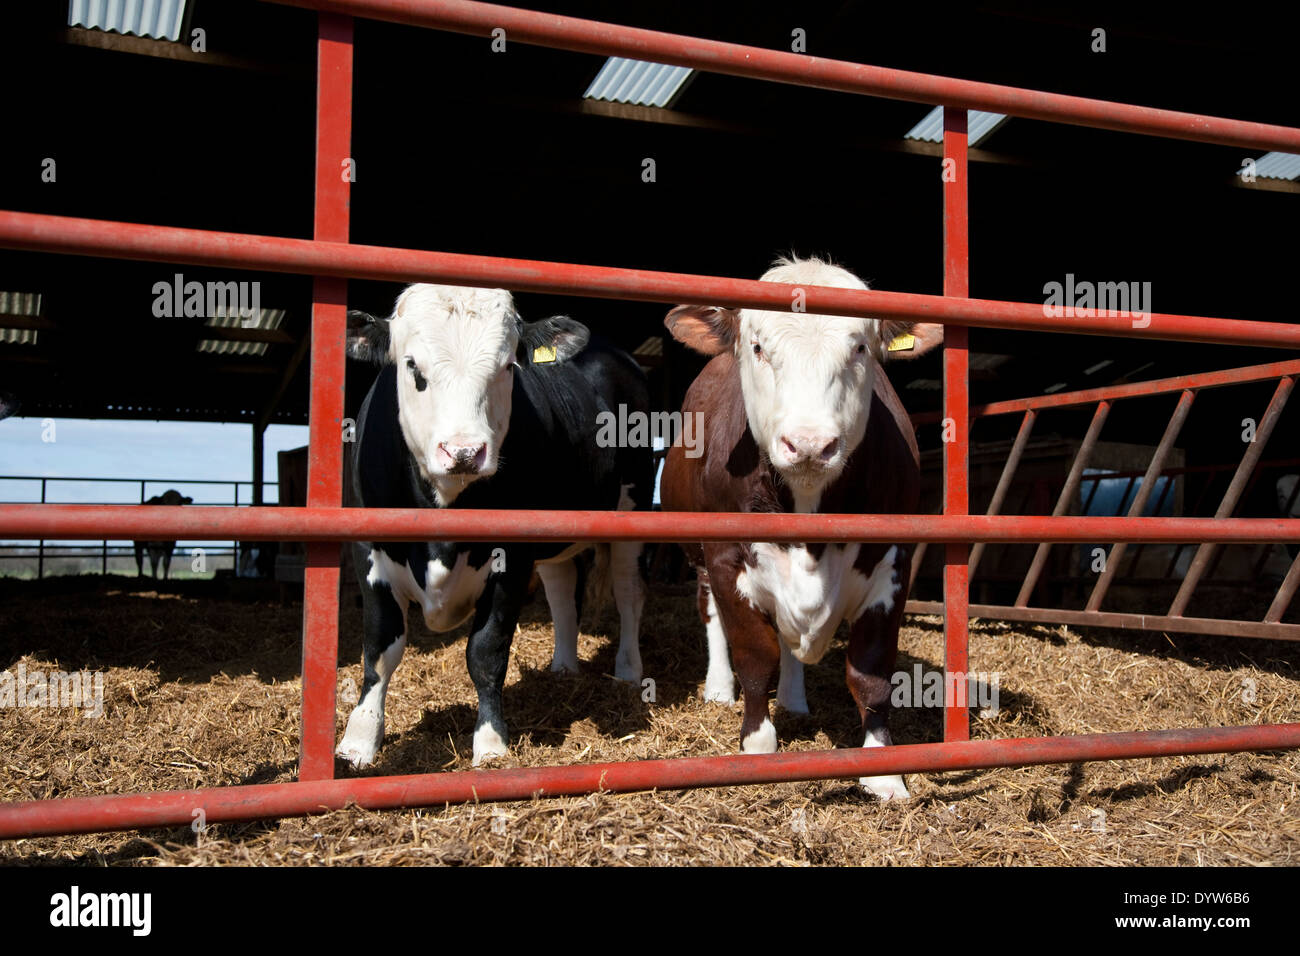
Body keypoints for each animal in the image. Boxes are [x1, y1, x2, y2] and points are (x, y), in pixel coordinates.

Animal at [338, 284, 653, 769]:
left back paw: (627, 670)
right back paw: (563, 667)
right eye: (411, 366)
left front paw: (490, 743)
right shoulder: (369, 550)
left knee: (627, 591)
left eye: (507, 367)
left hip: (631, 508)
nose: (465, 452)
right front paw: (359, 737)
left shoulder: (512, 557)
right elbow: (379, 647)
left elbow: (486, 652)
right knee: (562, 591)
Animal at [660, 256, 943, 801]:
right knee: (712, 616)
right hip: (697, 557)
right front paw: (757, 744)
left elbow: (871, 671)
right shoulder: (725, 556)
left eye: (860, 347)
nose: (810, 444)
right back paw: (718, 687)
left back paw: (793, 699)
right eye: (757, 347)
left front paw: (883, 770)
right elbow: (755, 656)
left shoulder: (893, 560)